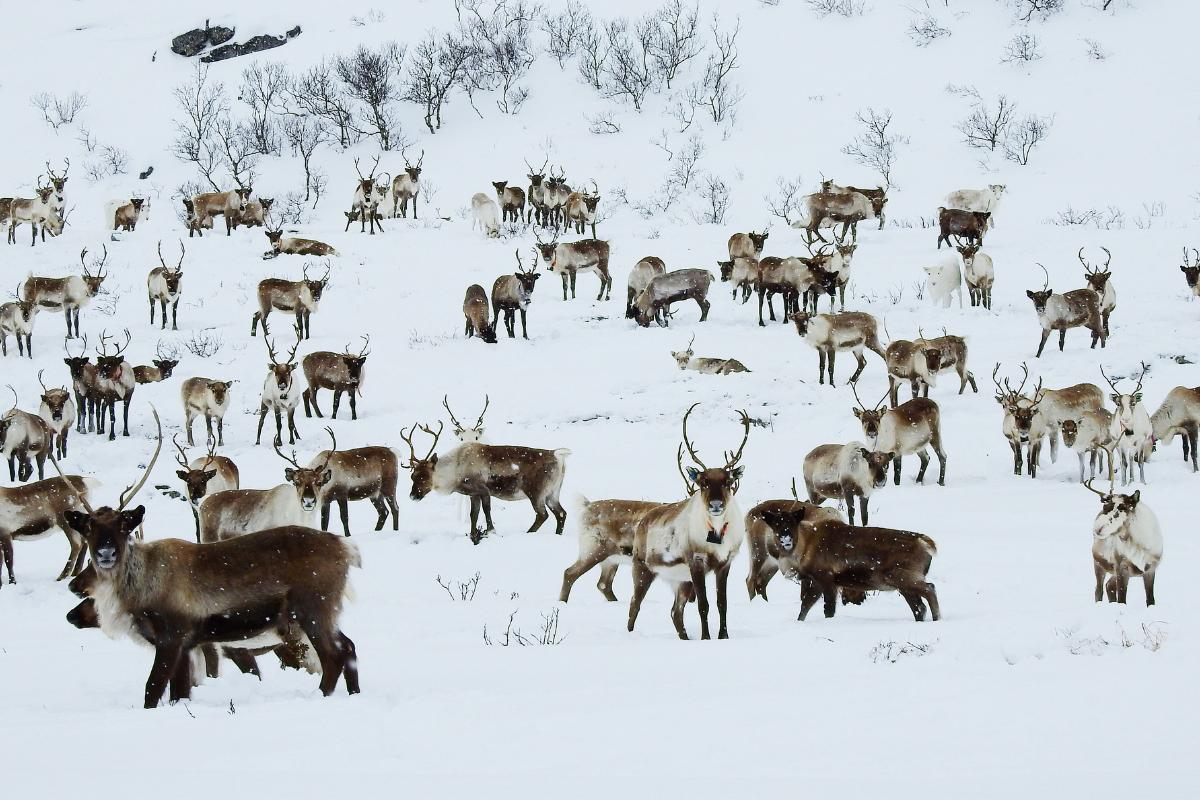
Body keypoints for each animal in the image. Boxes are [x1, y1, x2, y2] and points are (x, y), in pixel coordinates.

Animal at [50, 412, 361, 708]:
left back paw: (321, 696)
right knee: (348, 647)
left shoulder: (172, 637)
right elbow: (179, 693)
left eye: (123, 526)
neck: (139, 588)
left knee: (333, 656)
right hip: (324, 615)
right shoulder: (188, 646)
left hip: (314, 610)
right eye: (89, 527)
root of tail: (346, 548)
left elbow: (152, 690)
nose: (105, 554)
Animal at [401, 420, 570, 545]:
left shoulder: (483, 490)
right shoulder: (472, 494)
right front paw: (473, 535)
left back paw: (528, 534)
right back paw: (557, 535)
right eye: (412, 476)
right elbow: (473, 514)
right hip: (553, 493)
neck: (456, 468)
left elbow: (486, 510)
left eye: (424, 476)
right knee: (561, 513)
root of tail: (558, 456)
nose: (413, 496)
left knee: (542, 515)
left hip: (536, 493)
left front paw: (490, 532)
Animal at [627, 404, 750, 640]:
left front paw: (724, 637)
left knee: (675, 611)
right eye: (703, 482)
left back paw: (684, 638)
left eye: (728, 481)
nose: (716, 505)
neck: (717, 533)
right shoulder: (696, 561)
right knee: (634, 606)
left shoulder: (725, 563)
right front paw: (706, 638)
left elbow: (722, 603)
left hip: (681, 580)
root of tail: (642, 521)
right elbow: (704, 605)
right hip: (642, 567)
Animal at [1084, 478, 1162, 606]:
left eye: (1122, 508)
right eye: (1105, 507)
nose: (1097, 529)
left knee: (1109, 585)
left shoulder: (1151, 568)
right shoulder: (1121, 567)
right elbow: (1122, 598)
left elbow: (1151, 599)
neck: (1140, 545)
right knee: (1099, 589)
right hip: (1098, 564)